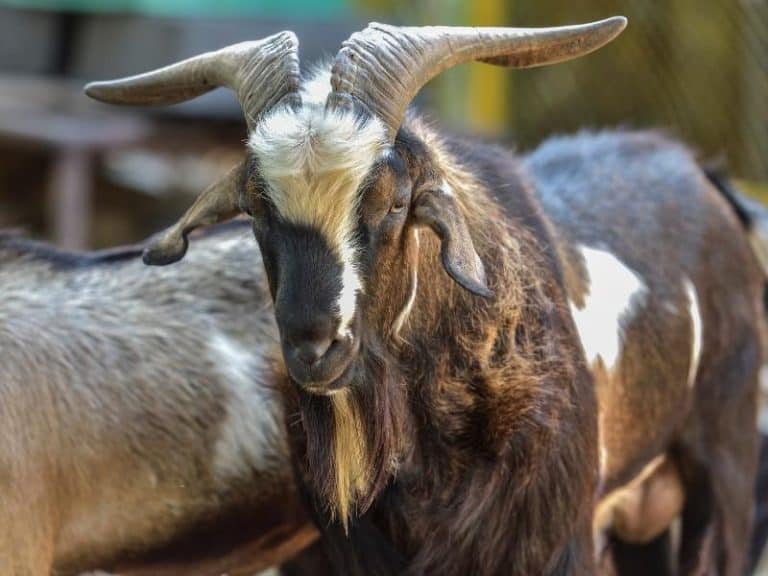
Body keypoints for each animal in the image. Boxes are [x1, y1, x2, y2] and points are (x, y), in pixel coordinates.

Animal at [87, 19, 764, 576]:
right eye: (254, 207)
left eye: (394, 202)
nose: (314, 347)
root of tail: (710, 182)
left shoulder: (554, 538)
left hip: (728, 469)